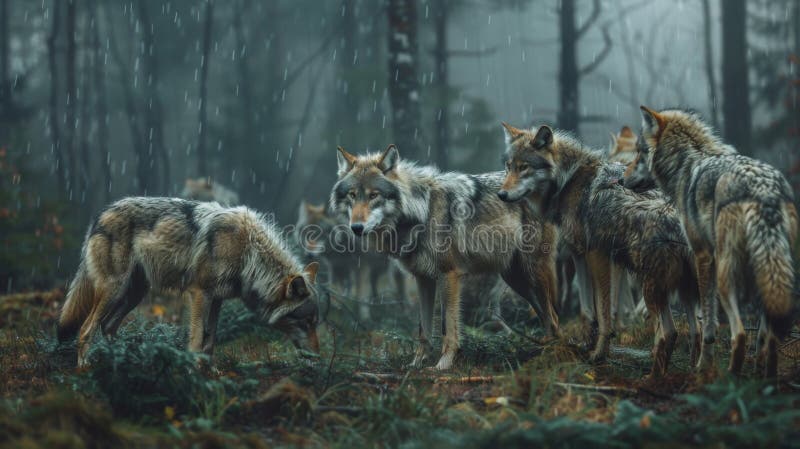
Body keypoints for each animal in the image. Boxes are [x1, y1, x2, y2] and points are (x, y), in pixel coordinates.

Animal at [57, 197, 320, 367]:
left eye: (315, 323)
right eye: (306, 322)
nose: (319, 356)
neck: (248, 251)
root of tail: (101, 214)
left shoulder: (217, 299)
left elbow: (210, 340)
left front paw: (211, 373)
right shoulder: (199, 293)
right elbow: (196, 339)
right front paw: (193, 374)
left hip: (134, 294)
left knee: (108, 326)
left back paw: (118, 361)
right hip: (115, 289)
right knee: (86, 329)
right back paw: (85, 369)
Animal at [330, 145, 559, 370]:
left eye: (373, 195)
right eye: (352, 195)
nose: (356, 228)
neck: (422, 211)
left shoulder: (448, 275)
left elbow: (447, 327)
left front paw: (443, 365)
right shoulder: (423, 279)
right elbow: (423, 329)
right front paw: (416, 364)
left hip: (532, 273)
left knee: (553, 316)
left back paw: (550, 353)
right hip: (518, 280)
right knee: (548, 316)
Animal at [498, 123, 700, 376]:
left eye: (524, 167)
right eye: (509, 166)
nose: (501, 195)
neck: (568, 180)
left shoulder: (597, 254)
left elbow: (604, 312)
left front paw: (599, 354)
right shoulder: (580, 254)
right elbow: (588, 311)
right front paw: (588, 344)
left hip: (652, 284)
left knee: (669, 332)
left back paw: (652, 378)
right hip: (685, 286)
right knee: (697, 331)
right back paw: (693, 373)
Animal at [640, 106, 798, 377]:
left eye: (641, 153)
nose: (622, 178)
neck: (688, 163)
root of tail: (763, 189)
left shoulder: (702, 254)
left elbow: (708, 322)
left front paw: (703, 366)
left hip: (728, 276)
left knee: (741, 334)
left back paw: (730, 377)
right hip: (772, 270)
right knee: (769, 337)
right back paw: (764, 378)